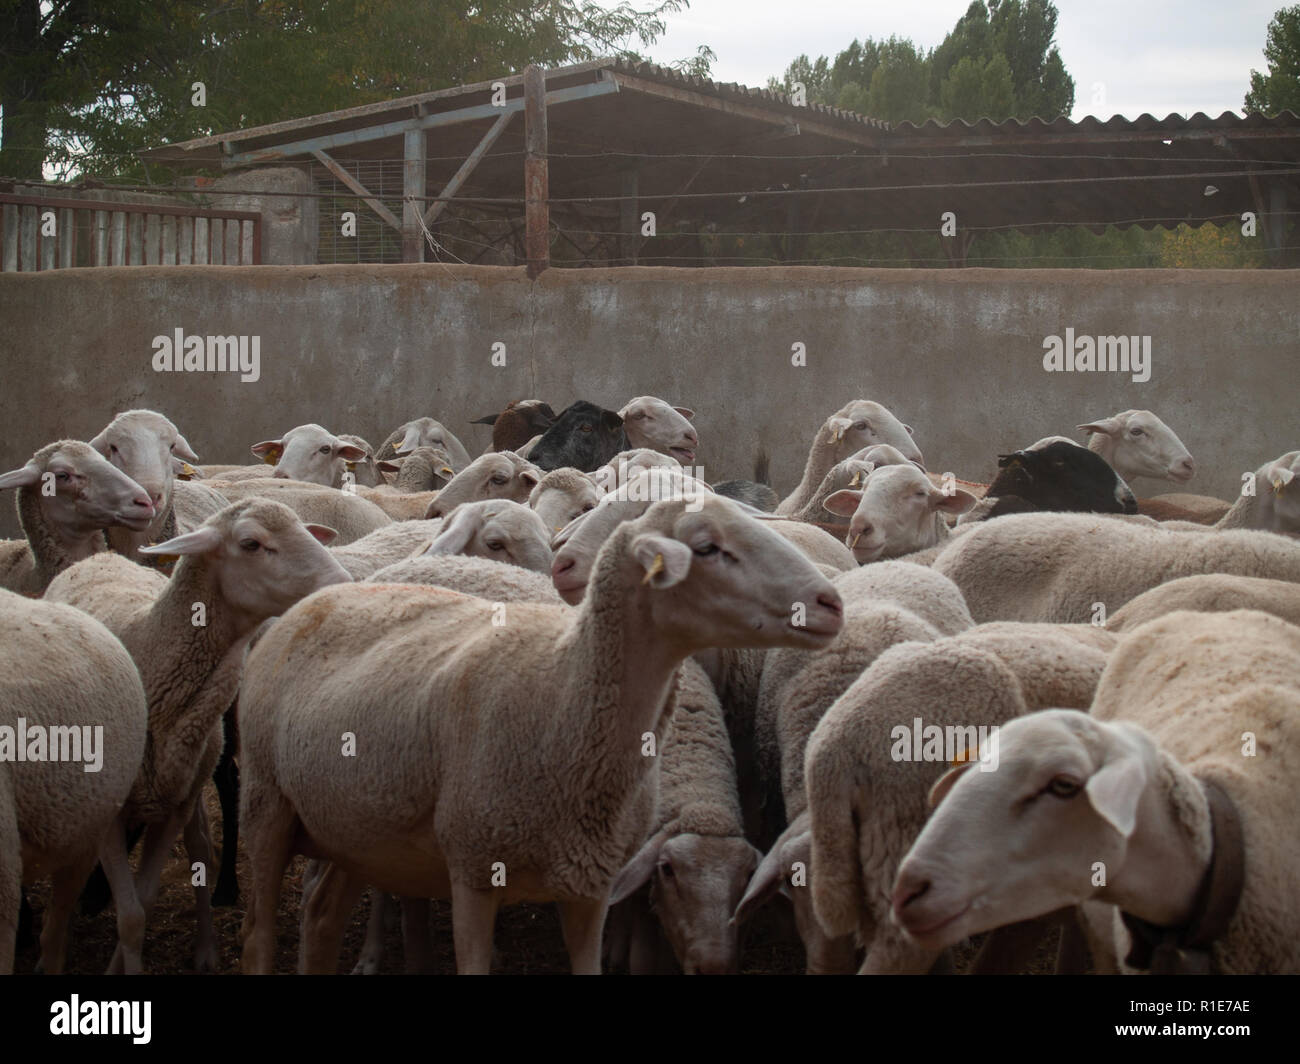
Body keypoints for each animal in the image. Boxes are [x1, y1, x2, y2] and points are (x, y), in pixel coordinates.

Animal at [44, 500, 350, 972]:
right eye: (251, 543)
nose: (344, 584)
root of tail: (102, 557)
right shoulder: (110, 813)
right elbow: (129, 915)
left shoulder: (176, 803)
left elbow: (144, 903)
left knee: (200, 847)